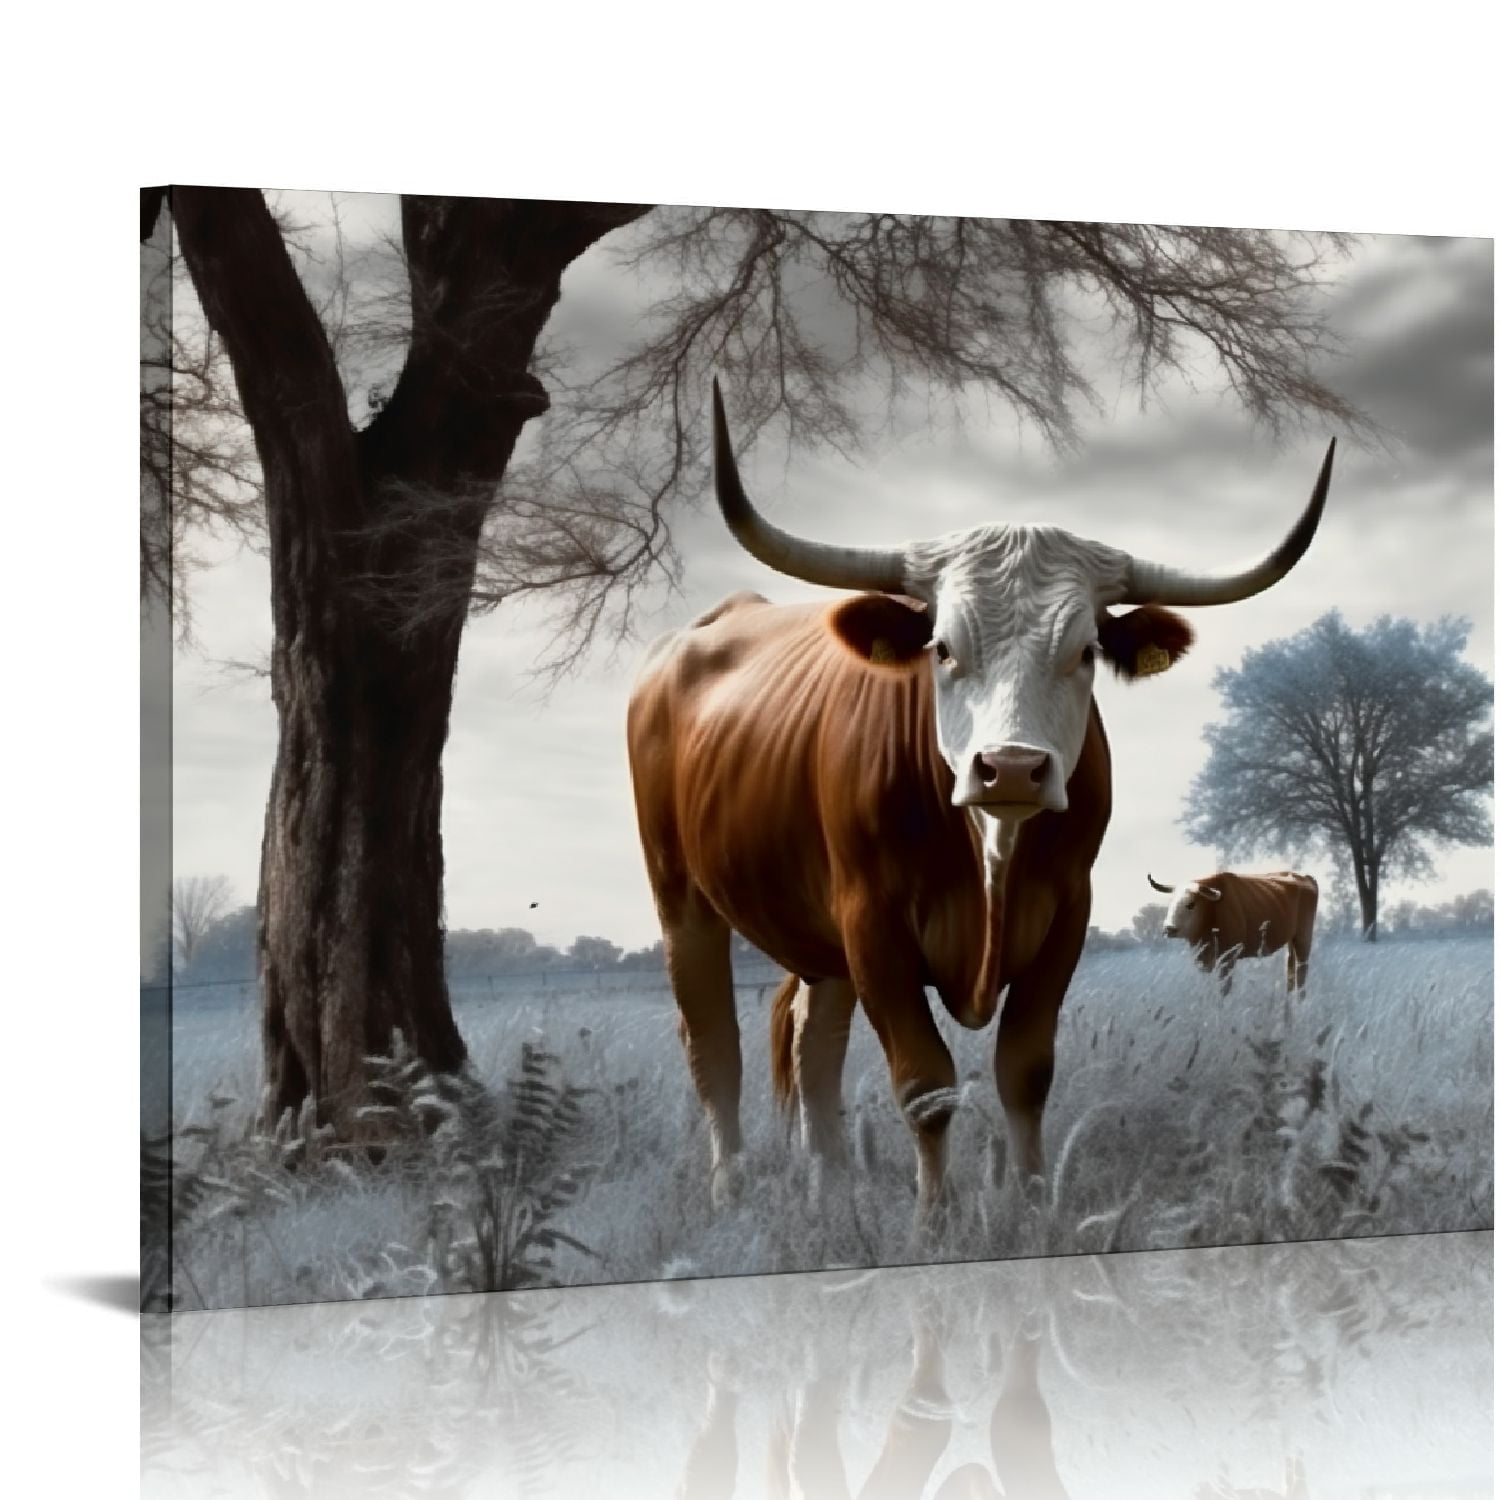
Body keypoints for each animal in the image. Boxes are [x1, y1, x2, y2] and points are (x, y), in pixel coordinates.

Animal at [1147, 870, 1319, 994]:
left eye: (1191, 904)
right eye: (1171, 903)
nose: (1168, 929)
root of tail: (1305, 877)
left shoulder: (1228, 958)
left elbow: (1224, 989)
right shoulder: (1203, 959)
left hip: (1303, 940)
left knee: (1301, 975)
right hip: (1291, 943)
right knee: (1290, 974)